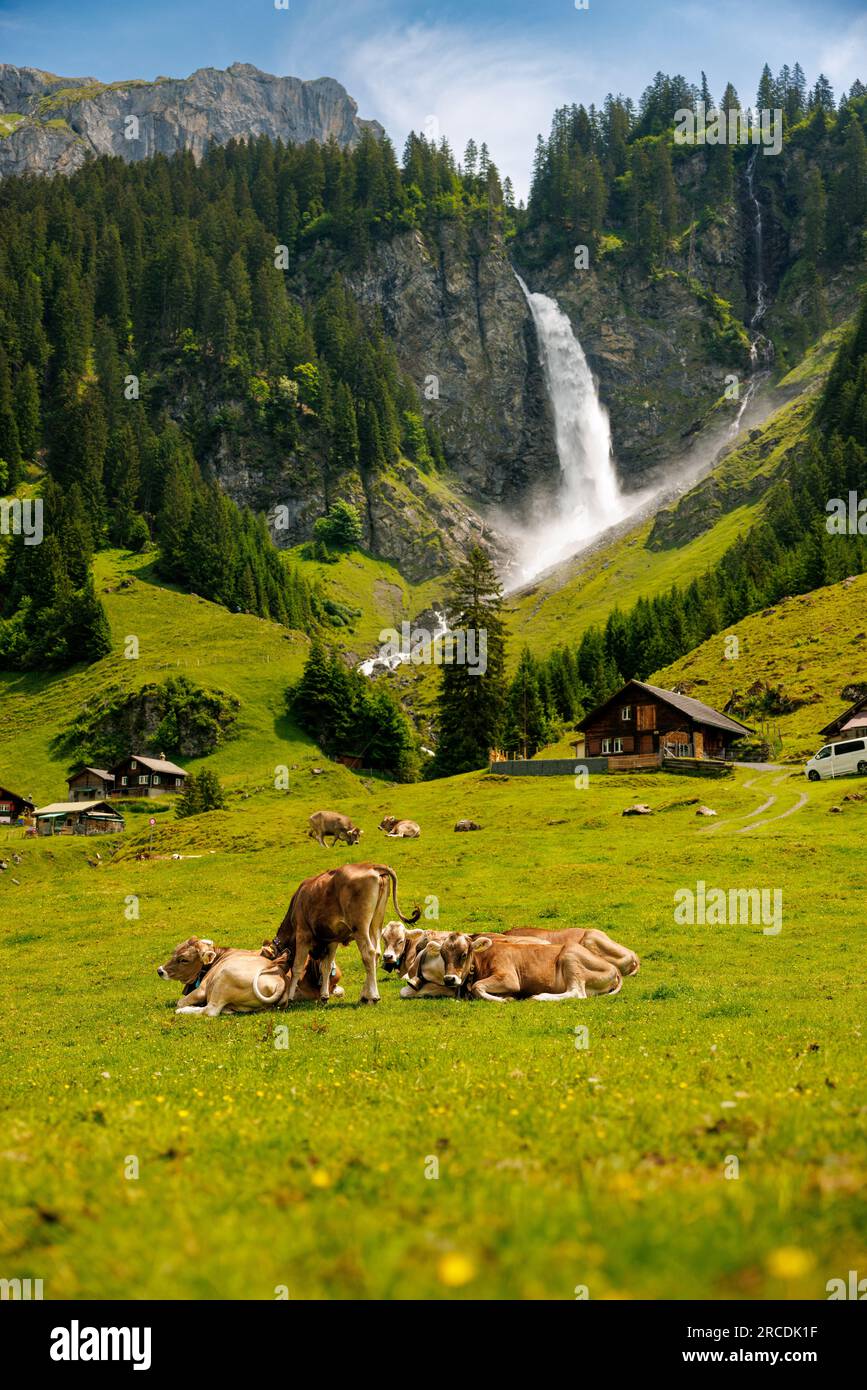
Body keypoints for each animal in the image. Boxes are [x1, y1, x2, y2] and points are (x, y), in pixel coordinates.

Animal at [157, 937, 344, 1017]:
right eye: (174, 952)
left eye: (184, 959)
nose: (160, 970)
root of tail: (279, 980)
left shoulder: (202, 988)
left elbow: (181, 1001)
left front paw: (183, 1006)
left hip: (223, 980)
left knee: (211, 1010)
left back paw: (184, 1011)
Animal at [262, 863, 420, 1004]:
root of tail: (372, 865)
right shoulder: (332, 939)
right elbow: (326, 966)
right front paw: (324, 996)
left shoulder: (303, 934)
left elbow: (297, 967)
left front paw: (290, 997)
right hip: (376, 923)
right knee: (376, 953)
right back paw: (365, 995)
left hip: (360, 926)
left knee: (368, 953)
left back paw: (374, 996)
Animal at [433, 932, 623, 1002]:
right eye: (442, 955)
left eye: (464, 954)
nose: (449, 979)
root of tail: (615, 969)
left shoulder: (509, 978)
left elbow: (478, 987)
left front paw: (505, 999)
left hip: (570, 956)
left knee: (577, 992)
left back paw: (539, 996)